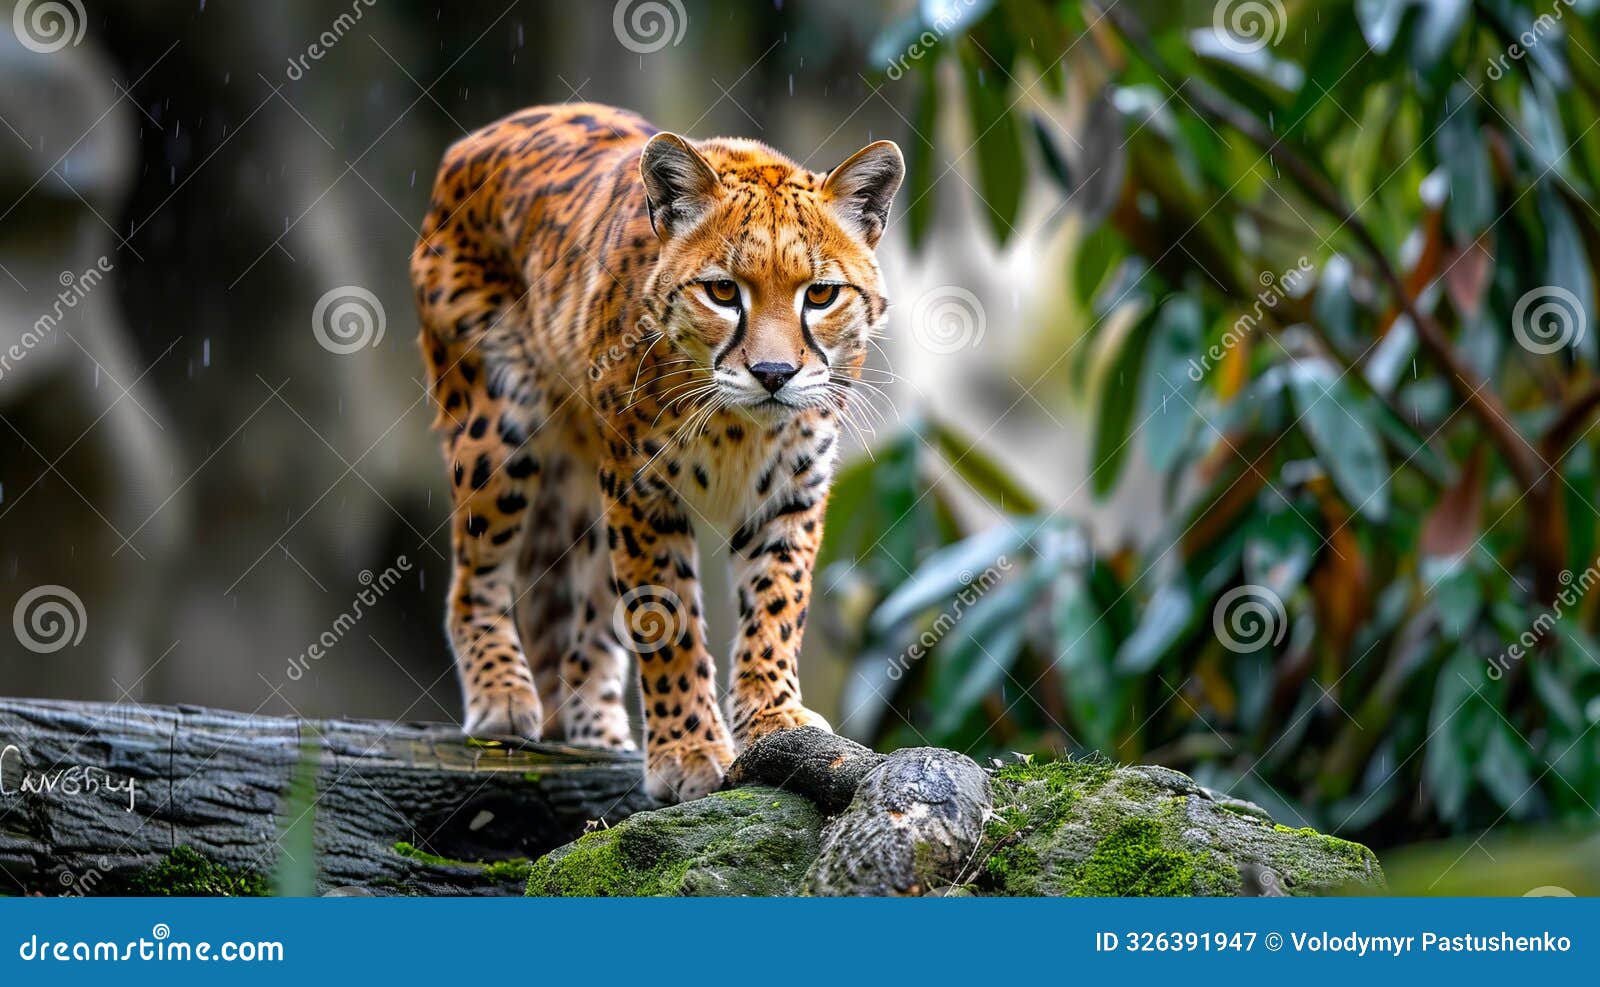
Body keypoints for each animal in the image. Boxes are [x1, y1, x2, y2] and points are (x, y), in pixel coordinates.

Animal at [409, 103, 903, 802]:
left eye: (820, 295)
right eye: (722, 293)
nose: (774, 374)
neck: (739, 427)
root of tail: (479, 137)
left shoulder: (792, 489)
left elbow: (777, 607)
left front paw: (773, 717)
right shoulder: (641, 489)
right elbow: (664, 619)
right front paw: (688, 750)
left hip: (586, 487)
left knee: (586, 615)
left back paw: (594, 725)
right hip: (496, 427)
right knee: (474, 578)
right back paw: (502, 696)